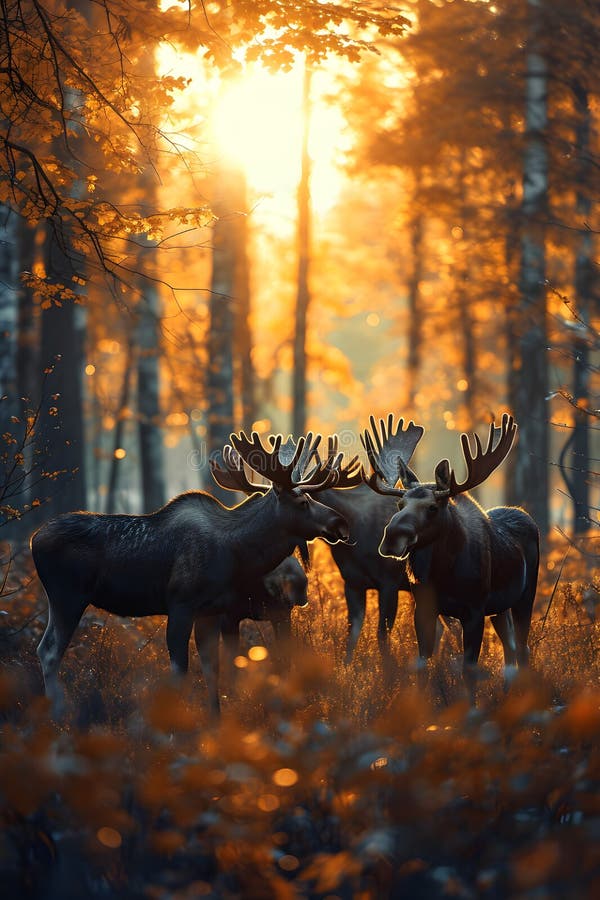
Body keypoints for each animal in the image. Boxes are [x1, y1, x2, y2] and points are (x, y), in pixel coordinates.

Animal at [32, 431, 357, 718]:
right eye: (303, 502)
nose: (341, 523)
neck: (235, 552)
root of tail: (35, 538)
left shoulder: (211, 612)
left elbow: (213, 671)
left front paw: (215, 720)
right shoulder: (181, 604)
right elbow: (180, 671)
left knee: (45, 648)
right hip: (68, 597)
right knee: (49, 651)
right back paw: (58, 717)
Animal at [211, 417, 424, 666]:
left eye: (306, 500)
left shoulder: (389, 581)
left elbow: (382, 637)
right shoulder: (352, 582)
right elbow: (351, 635)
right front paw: (347, 669)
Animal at [362, 413, 540, 701]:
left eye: (433, 507)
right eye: (400, 504)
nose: (392, 537)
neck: (443, 574)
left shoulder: (475, 610)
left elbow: (469, 669)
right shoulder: (424, 607)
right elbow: (422, 665)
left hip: (525, 596)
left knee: (523, 648)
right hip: (500, 607)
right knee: (510, 648)